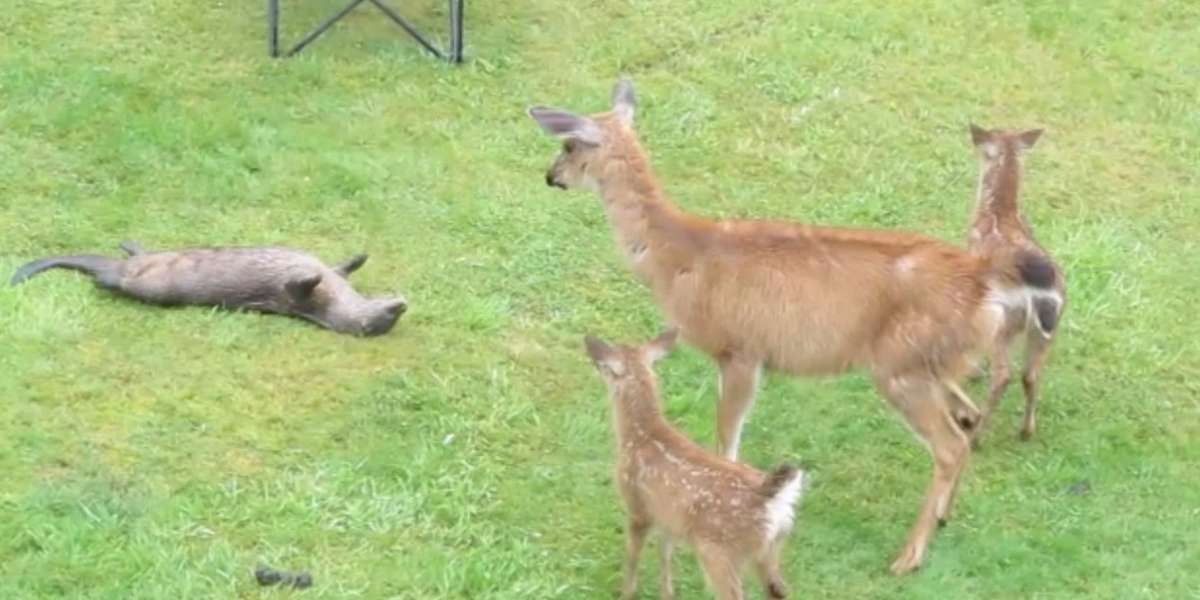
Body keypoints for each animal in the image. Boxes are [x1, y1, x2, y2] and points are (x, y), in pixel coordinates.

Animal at [585, 330, 807, 600]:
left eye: (606, 366)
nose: (593, 360)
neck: (640, 435)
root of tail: (774, 497)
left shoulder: (638, 505)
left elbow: (633, 555)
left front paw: (626, 593)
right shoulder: (668, 515)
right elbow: (665, 554)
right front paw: (667, 594)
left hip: (717, 551)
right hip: (771, 549)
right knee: (780, 590)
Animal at [965, 125, 1066, 446]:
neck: (998, 213)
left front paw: (973, 370)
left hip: (1007, 320)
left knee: (1005, 375)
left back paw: (976, 435)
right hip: (1048, 328)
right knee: (1030, 374)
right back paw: (1026, 430)